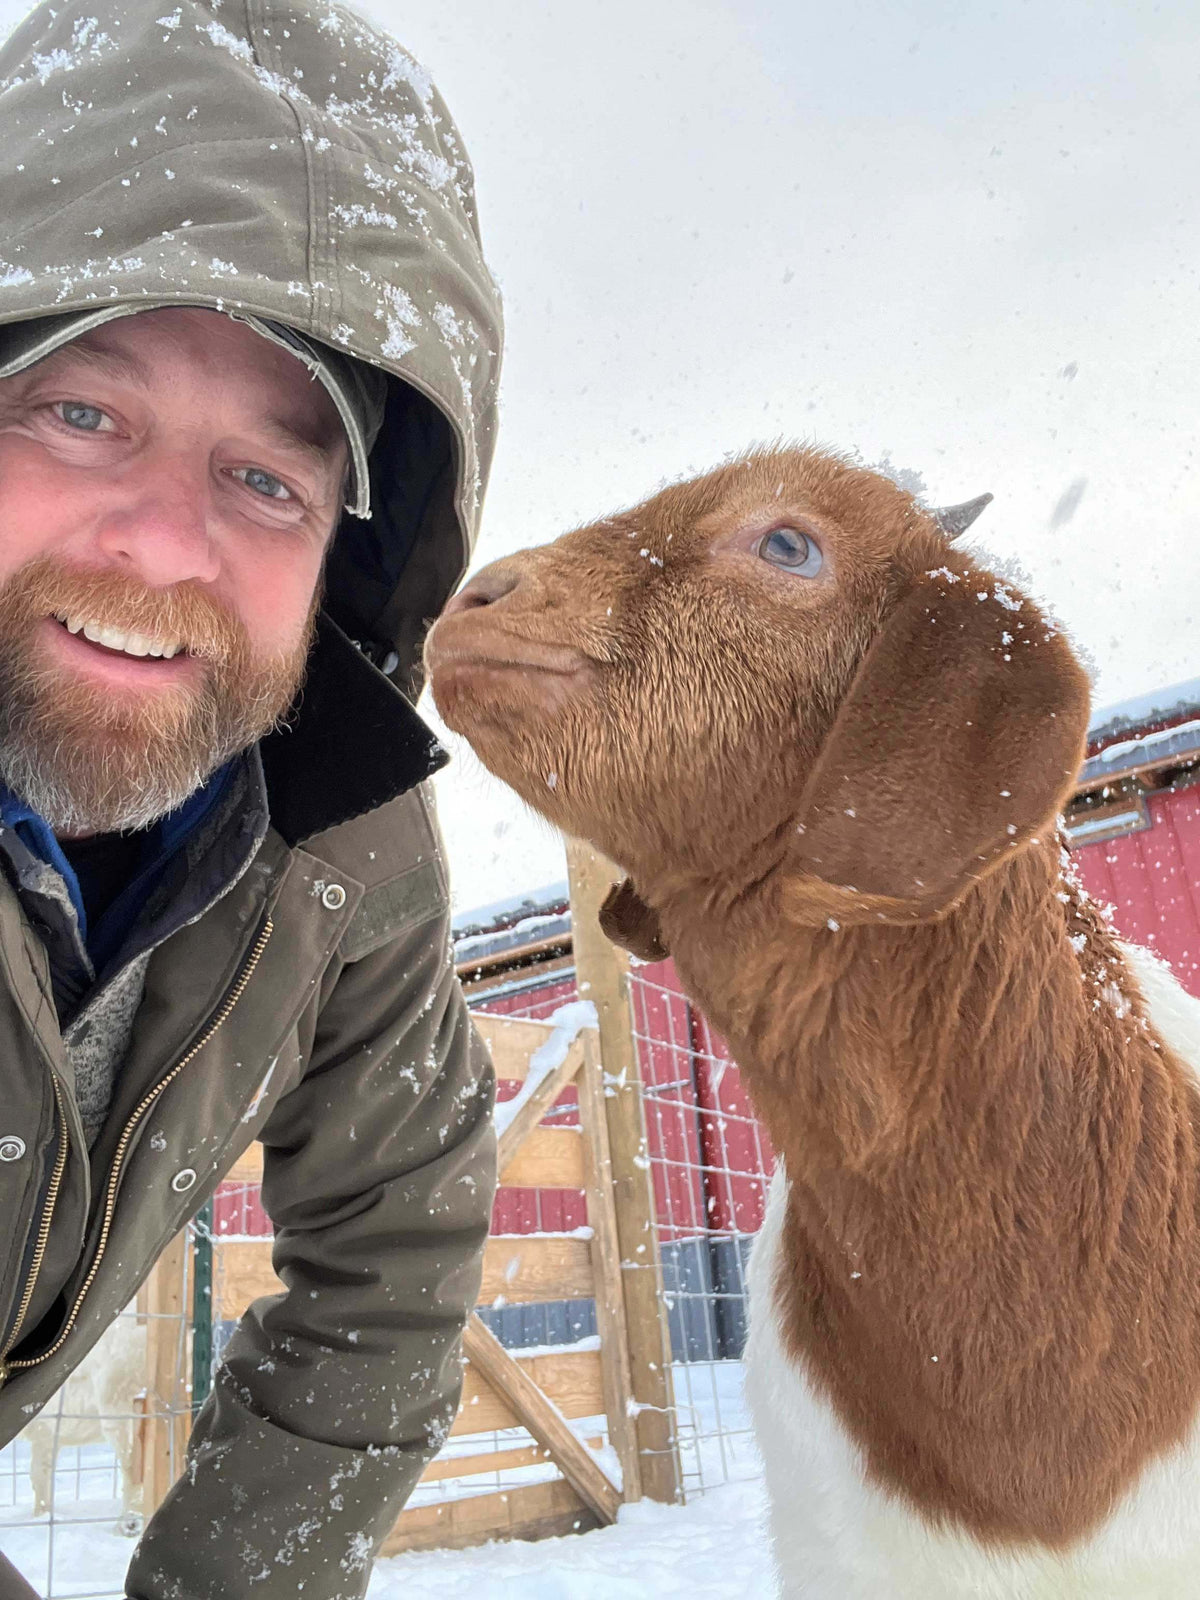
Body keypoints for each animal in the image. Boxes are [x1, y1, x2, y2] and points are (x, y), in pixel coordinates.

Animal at [23, 1315, 147, 1535]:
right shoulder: (45, 1434)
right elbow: (40, 1475)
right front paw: (42, 1516)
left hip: (120, 1406)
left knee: (133, 1470)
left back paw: (127, 1526)